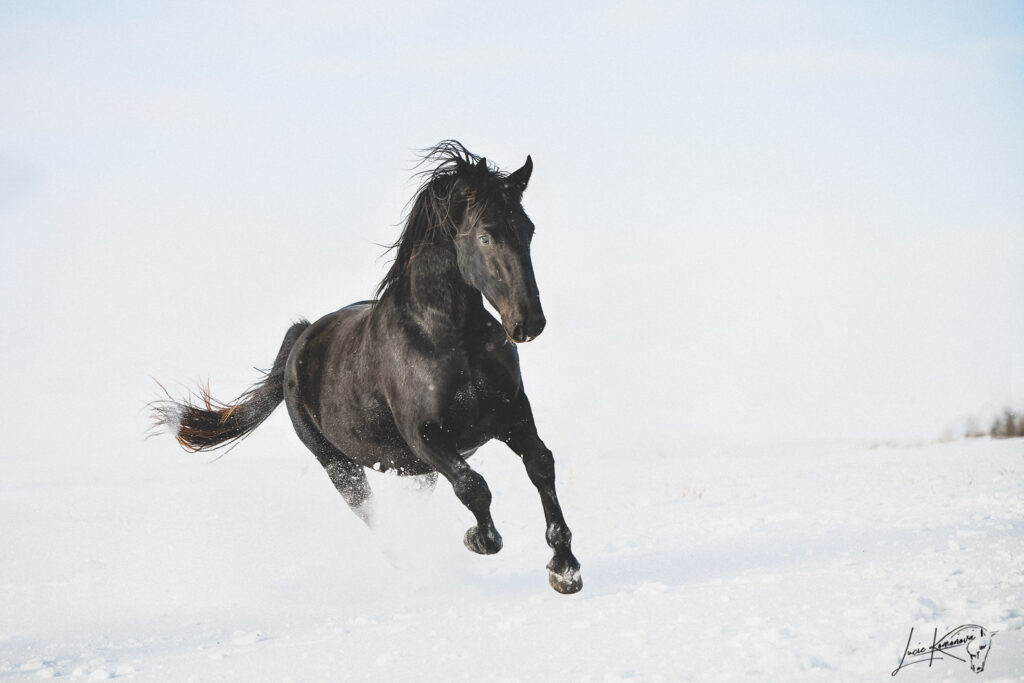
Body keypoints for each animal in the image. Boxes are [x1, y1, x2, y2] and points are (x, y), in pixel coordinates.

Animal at [150, 141, 582, 594]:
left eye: (528, 230)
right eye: (485, 235)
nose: (528, 323)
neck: (451, 340)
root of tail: (302, 337)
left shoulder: (512, 416)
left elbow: (541, 465)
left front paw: (565, 570)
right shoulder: (425, 436)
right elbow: (473, 487)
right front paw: (479, 539)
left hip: (415, 469)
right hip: (340, 466)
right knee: (376, 517)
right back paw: (411, 568)